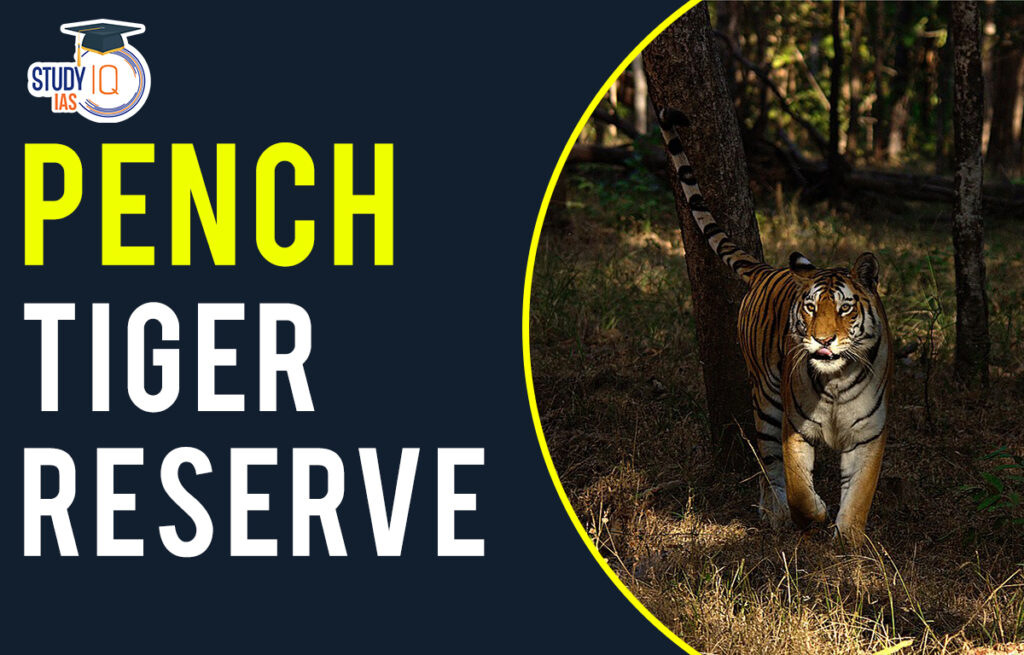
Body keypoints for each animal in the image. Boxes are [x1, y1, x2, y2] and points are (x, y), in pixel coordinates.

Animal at [656, 107, 894, 544]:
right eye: (812, 308)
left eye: (845, 309)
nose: (823, 340)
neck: (835, 382)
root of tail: (767, 270)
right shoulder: (794, 426)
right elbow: (798, 482)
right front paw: (813, 514)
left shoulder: (868, 433)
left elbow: (860, 494)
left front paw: (850, 542)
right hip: (765, 399)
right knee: (769, 465)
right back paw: (775, 513)